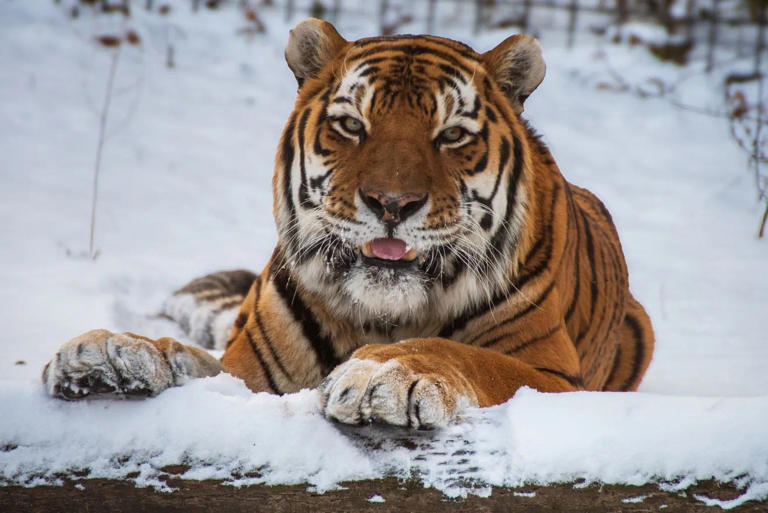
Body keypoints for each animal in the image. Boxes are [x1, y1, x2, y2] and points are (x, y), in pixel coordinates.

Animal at [43, 19, 654, 430]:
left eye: (452, 135)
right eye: (352, 125)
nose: (391, 203)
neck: (382, 319)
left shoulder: (553, 377)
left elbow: (469, 356)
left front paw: (386, 375)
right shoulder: (249, 372)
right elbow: (196, 361)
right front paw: (110, 353)